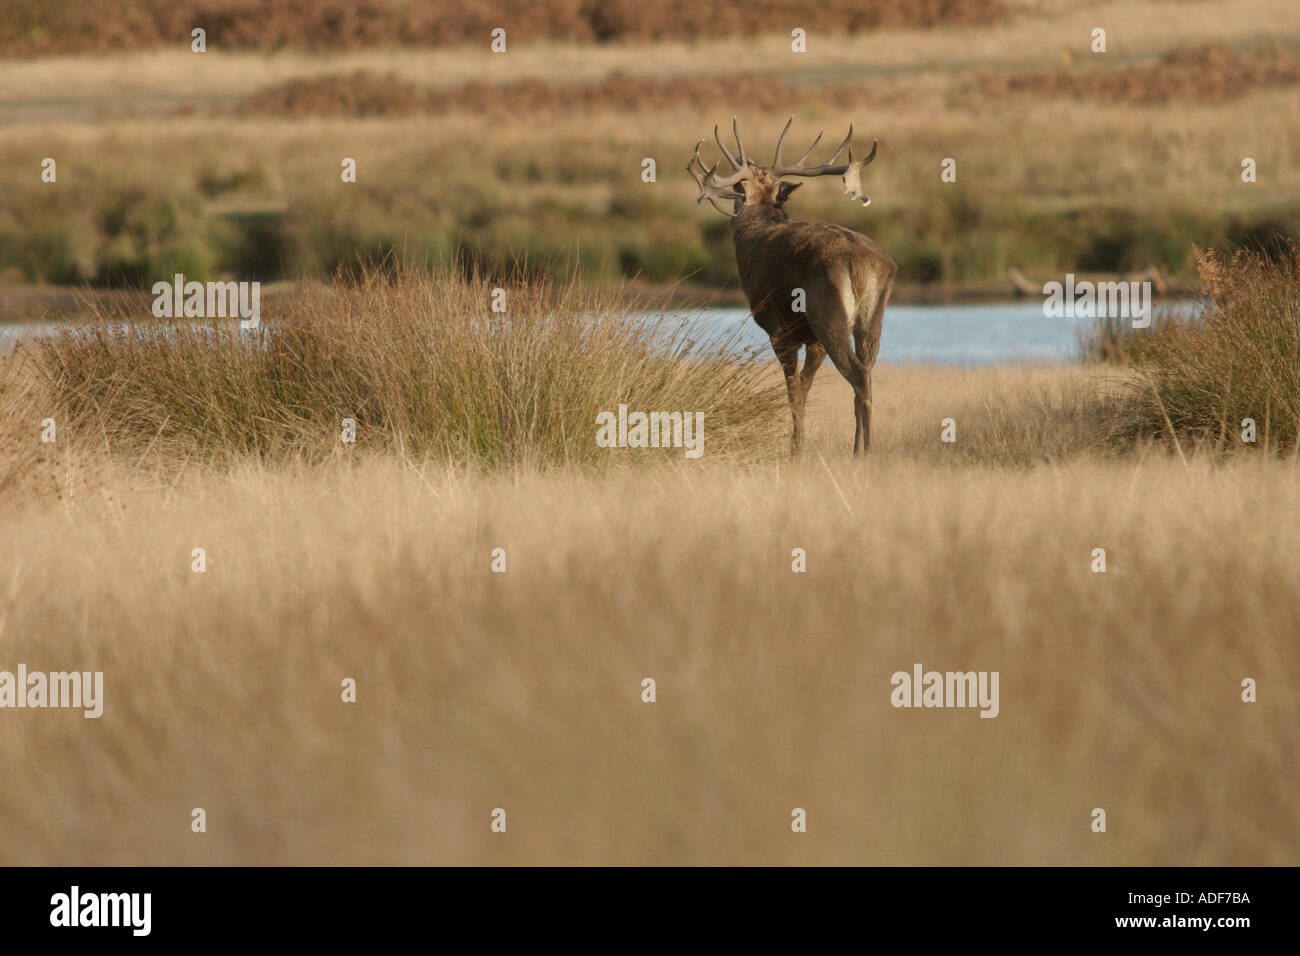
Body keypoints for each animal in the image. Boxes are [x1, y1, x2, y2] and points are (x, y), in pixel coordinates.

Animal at [687, 117, 895, 456]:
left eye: (736, 191)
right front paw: (799, 446)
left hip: (827, 313)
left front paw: (795, 452)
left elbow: (793, 392)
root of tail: (861, 263)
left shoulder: (778, 329)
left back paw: (863, 454)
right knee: (866, 373)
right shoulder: (812, 340)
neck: (753, 239)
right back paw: (858, 450)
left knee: (858, 375)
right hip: (871, 320)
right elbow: (805, 388)